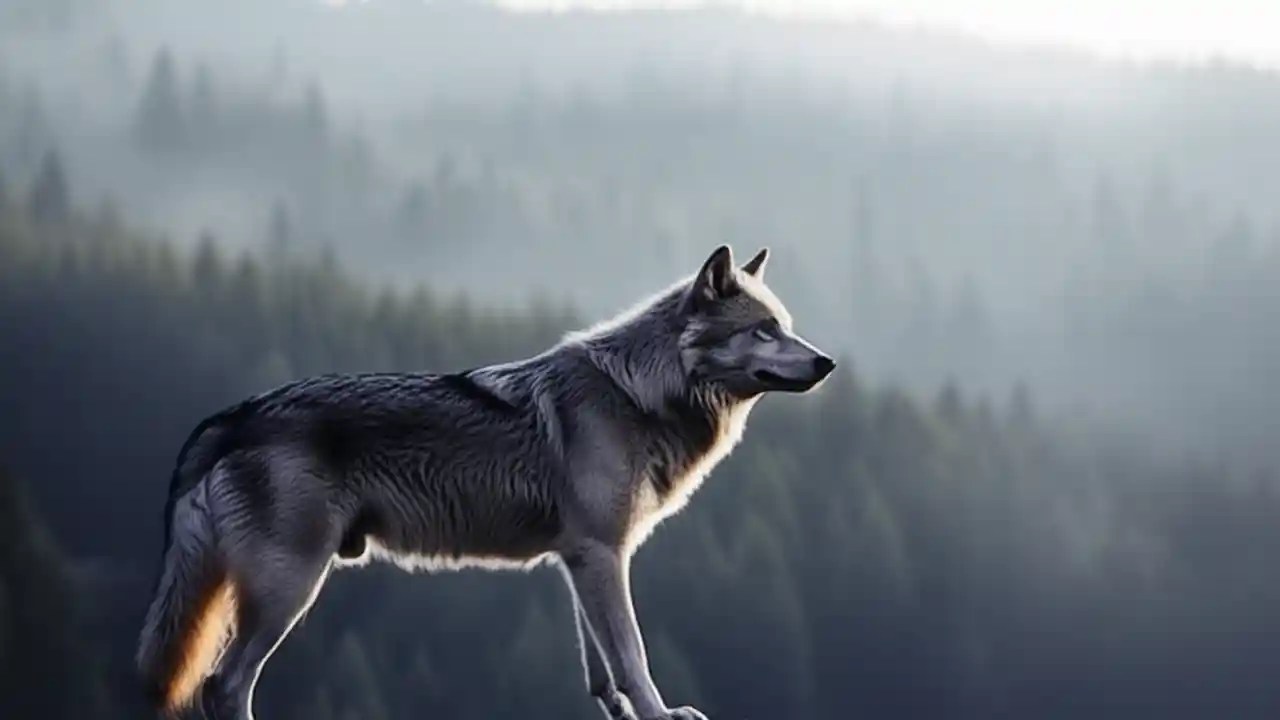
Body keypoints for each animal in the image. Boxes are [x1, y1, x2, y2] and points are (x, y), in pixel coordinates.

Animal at [136, 245, 835, 720]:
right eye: (764, 330)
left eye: (787, 324)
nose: (827, 362)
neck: (641, 392)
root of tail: (229, 418)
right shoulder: (603, 555)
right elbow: (633, 657)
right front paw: (662, 715)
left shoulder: (581, 560)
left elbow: (602, 669)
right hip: (291, 590)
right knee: (222, 687)